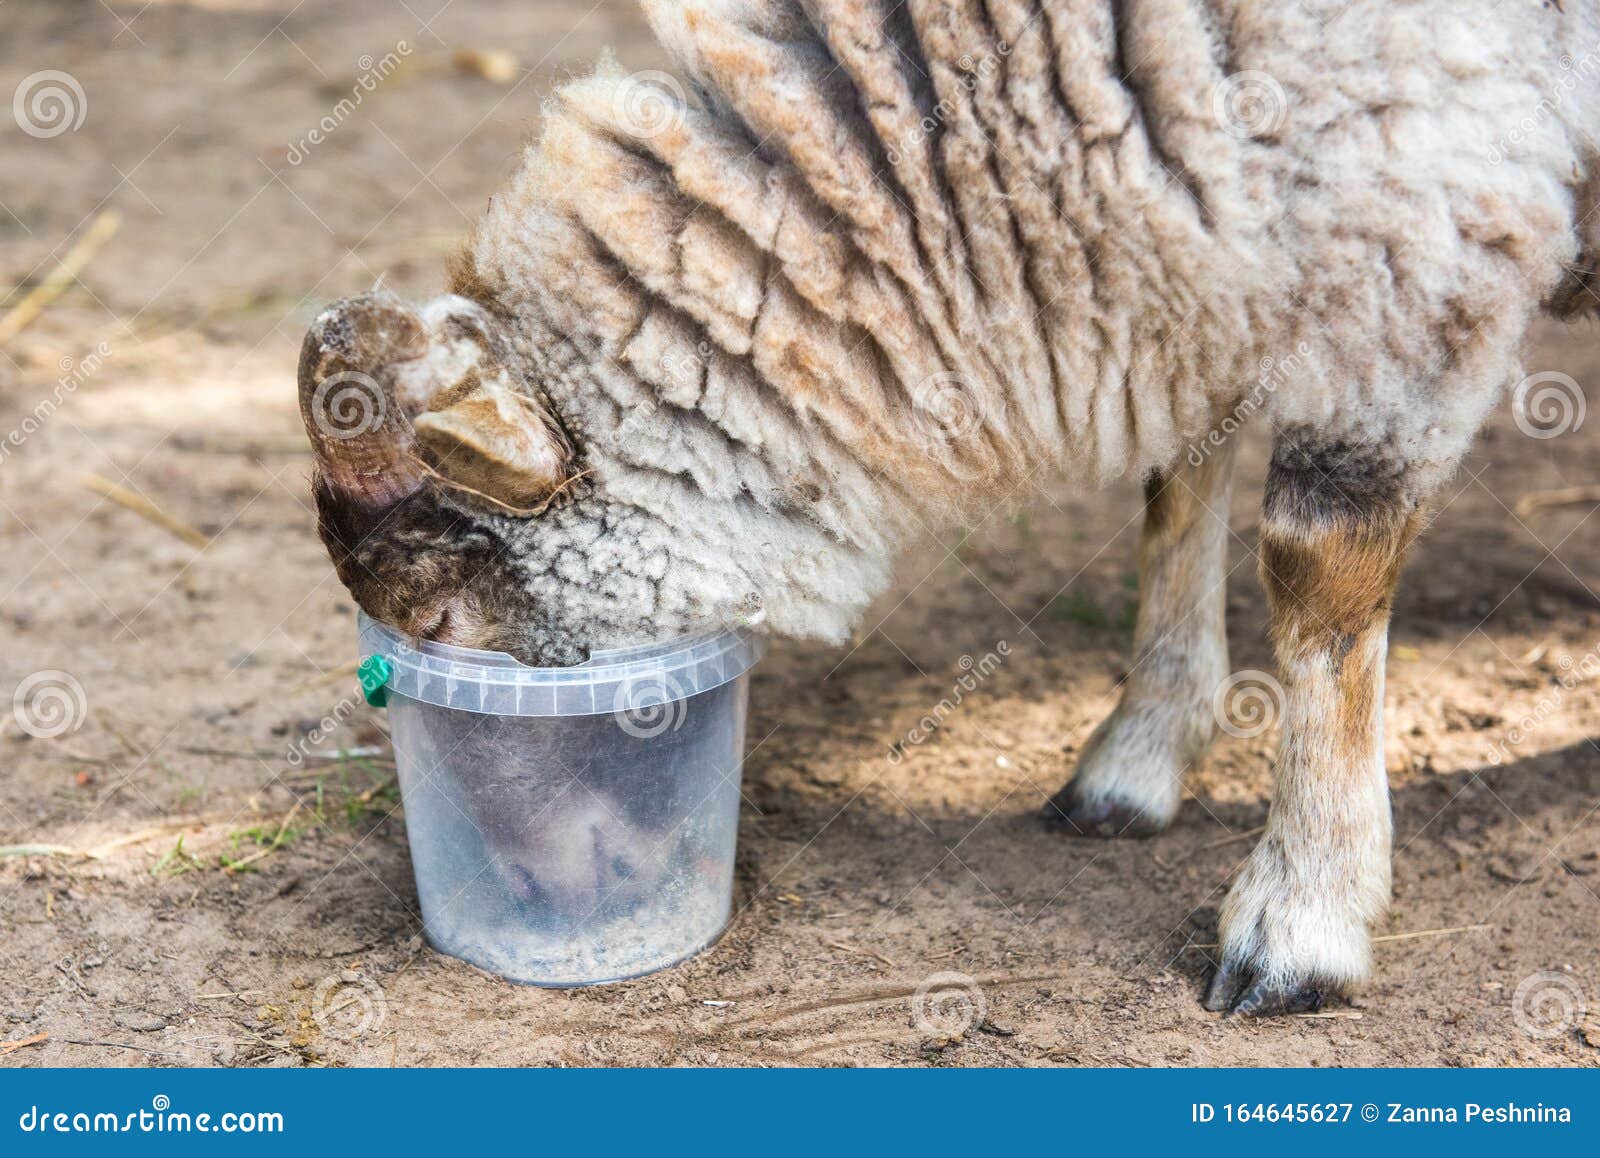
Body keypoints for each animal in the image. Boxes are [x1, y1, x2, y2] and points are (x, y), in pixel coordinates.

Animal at [297, 0, 1600, 1016]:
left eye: (447, 626)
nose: (529, 896)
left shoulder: (1415, 239)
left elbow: (1316, 570)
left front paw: (1299, 926)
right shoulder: (1221, 244)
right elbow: (1177, 484)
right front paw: (1134, 759)